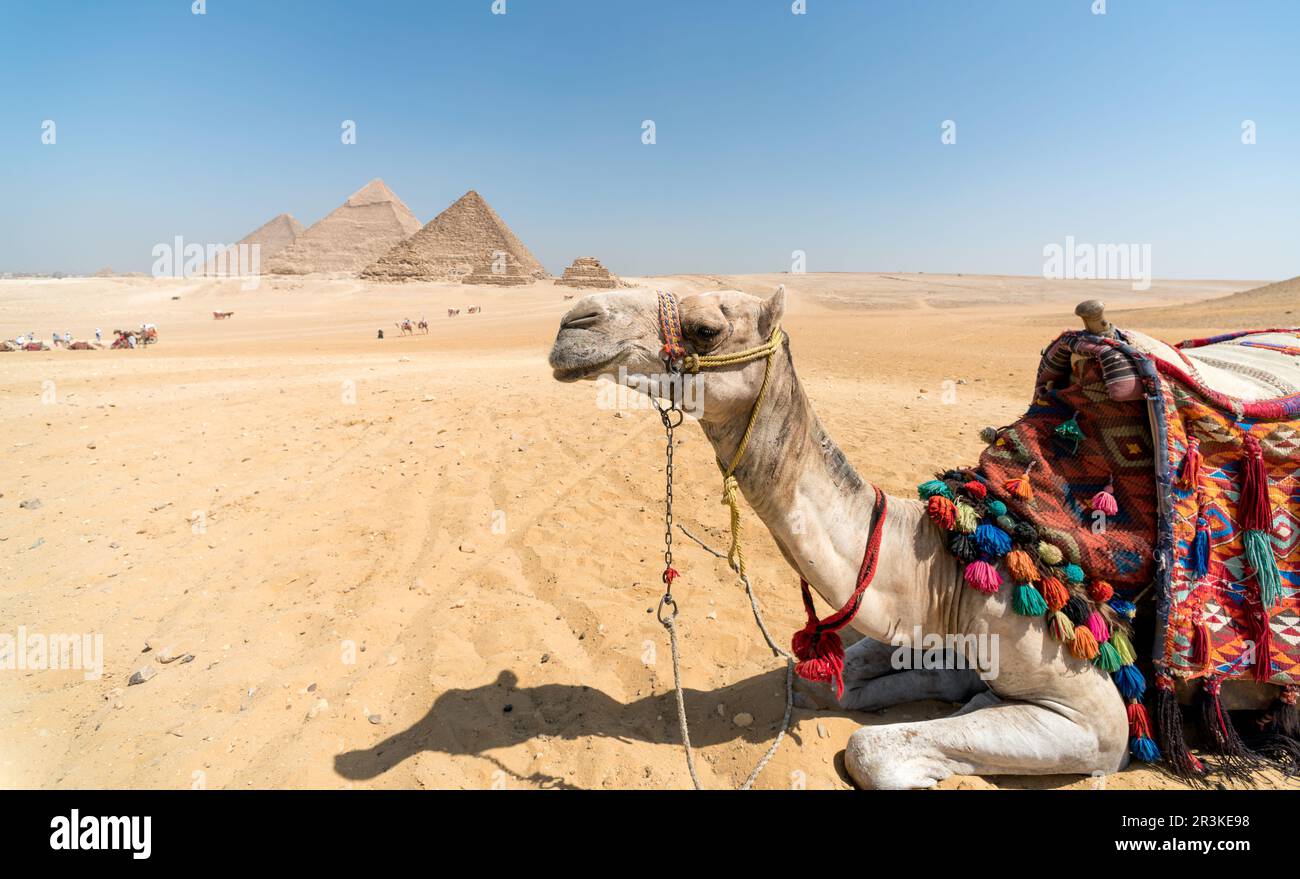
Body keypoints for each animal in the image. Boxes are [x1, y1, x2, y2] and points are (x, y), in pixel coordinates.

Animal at [548, 285, 1134, 789]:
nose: (573, 322)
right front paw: (954, 687)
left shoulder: (1097, 718)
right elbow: (832, 681)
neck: (951, 560)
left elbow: (868, 749)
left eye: (705, 329)